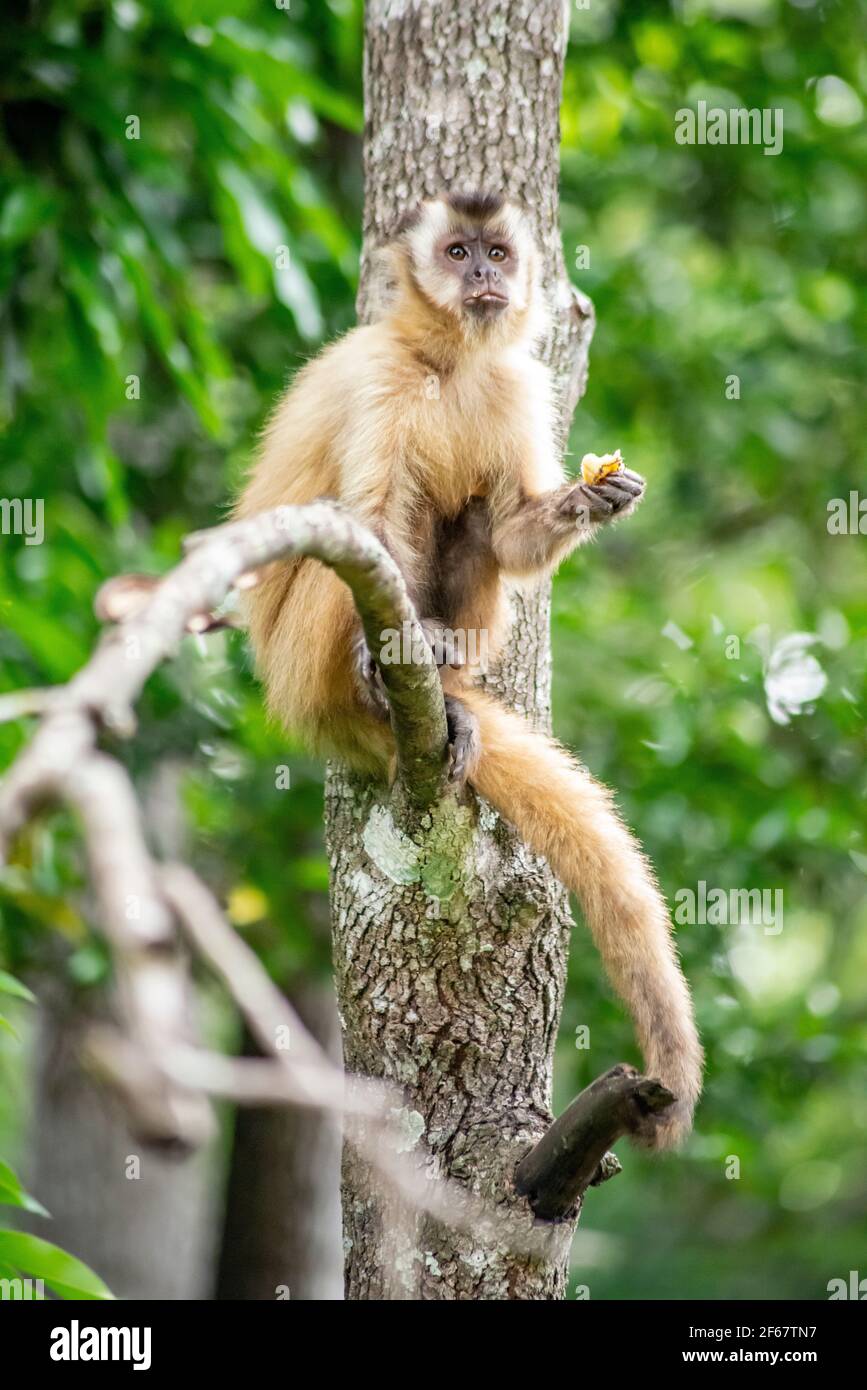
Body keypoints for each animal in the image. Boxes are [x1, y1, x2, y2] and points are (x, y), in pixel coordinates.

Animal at [235, 191, 703, 1148]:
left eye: (495, 252)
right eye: (456, 253)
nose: (483, 275)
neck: (447, 359)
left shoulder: (519, 385)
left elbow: (514, 527)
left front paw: (591, 498)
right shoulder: (382, 377)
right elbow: (373, 519)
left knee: (475, 511)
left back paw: (447, 674)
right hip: (299, 659)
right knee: (358, 531)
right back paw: (388, 684)